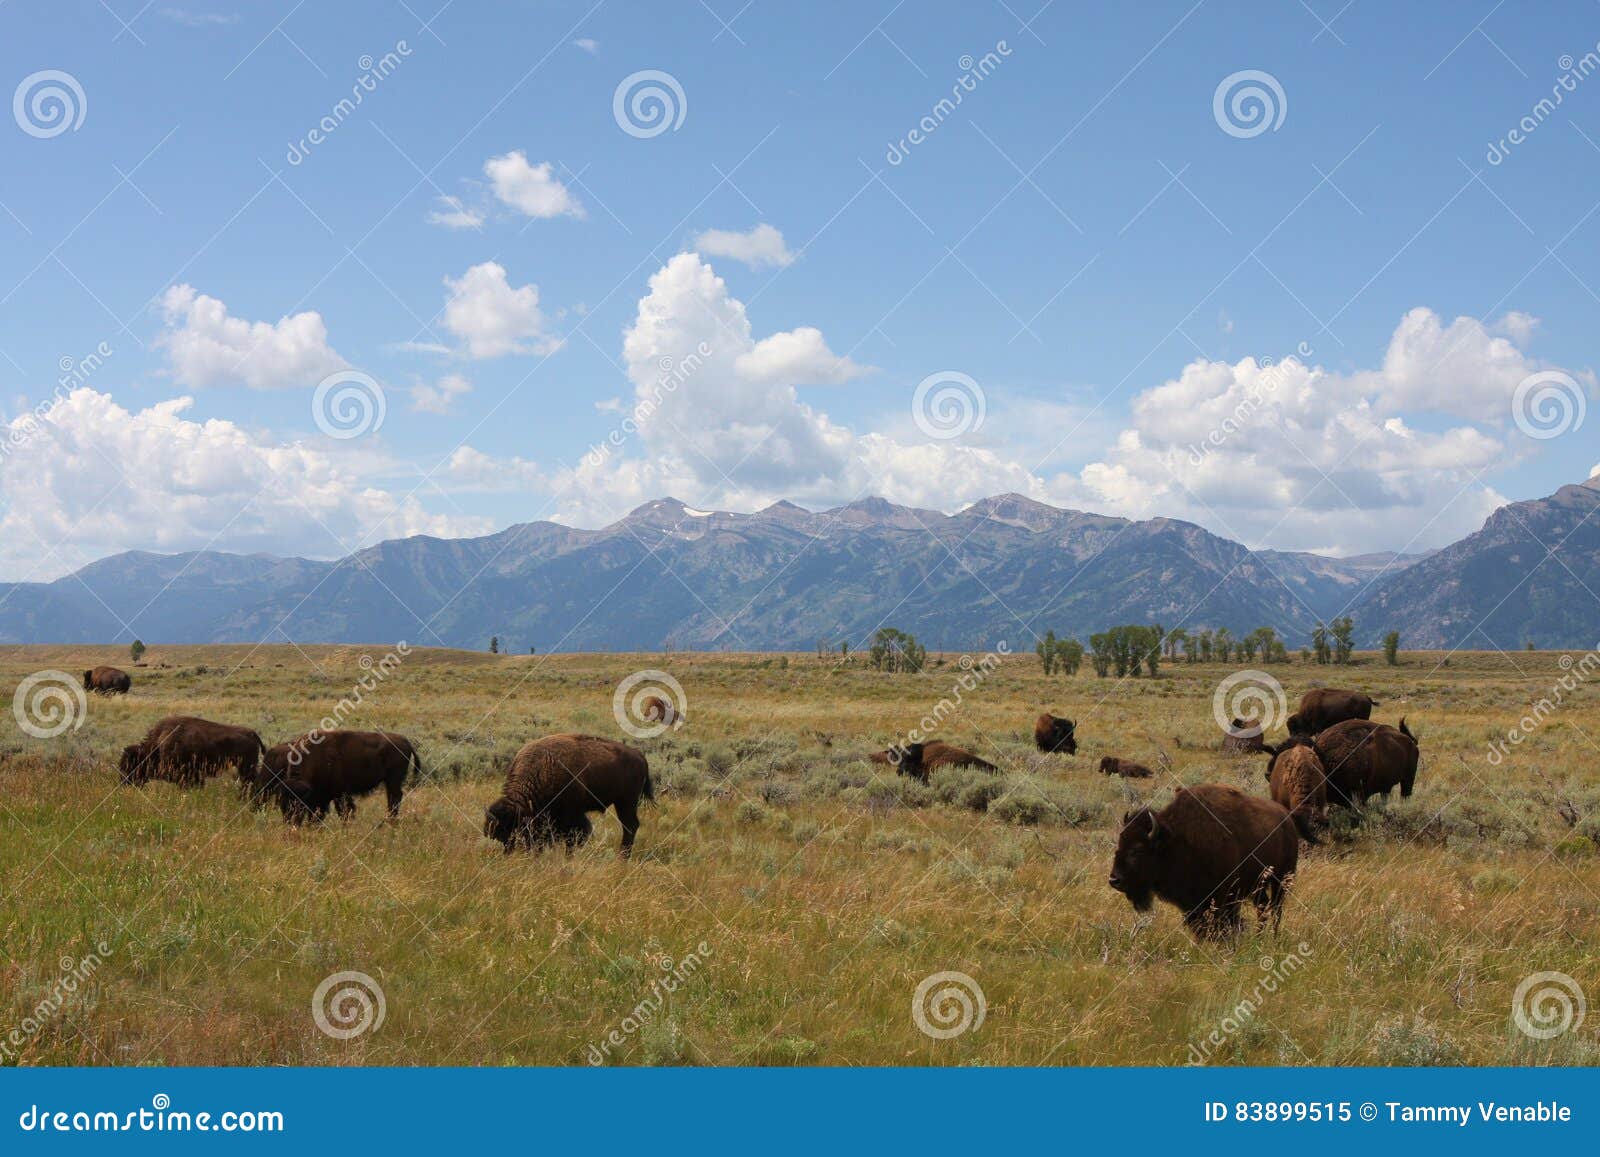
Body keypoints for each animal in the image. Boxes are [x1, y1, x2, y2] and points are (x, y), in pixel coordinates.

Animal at [255, 729, 421, 823]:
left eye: (298, 803)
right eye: (282, 804)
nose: (290, 822)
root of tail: (405, 741)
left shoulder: (339, 794)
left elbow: (344, 810)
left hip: (393, 780)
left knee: (395, 797)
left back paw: (390, 820)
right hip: (390, 781)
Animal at [484, 733, 652, 856]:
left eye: (510, 830)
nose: (508, 854)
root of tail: (639, 755)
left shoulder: (573, 815)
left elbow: (576, 836)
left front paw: (569, 856)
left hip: (626, 802)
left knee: (630, 825)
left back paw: (623, 856)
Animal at [1109, 784, 1298, 938]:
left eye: (1137, 850)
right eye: (1119, 846)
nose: (1114, 880)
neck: (1176, 839)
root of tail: (1287, 820)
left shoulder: (1225, 896)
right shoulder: (1192, 903)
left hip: (1281, 880)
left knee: (1276, 909)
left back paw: (1273, 937)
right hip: (1258, 887)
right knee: (1263, 907)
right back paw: (1259, 937)